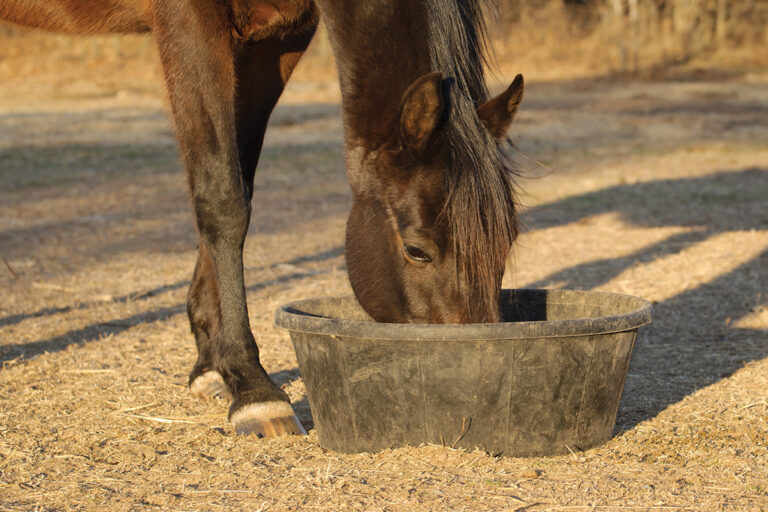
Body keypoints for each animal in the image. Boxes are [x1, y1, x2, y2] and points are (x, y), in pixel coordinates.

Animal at [1, 0, 525, 438]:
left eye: (509, 241)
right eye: (417, 250)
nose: (474, 376)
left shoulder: (274, 40)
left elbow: (240, 179)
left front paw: (213, 366)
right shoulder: (190, 23)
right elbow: (223, 196)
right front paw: (254, 389)